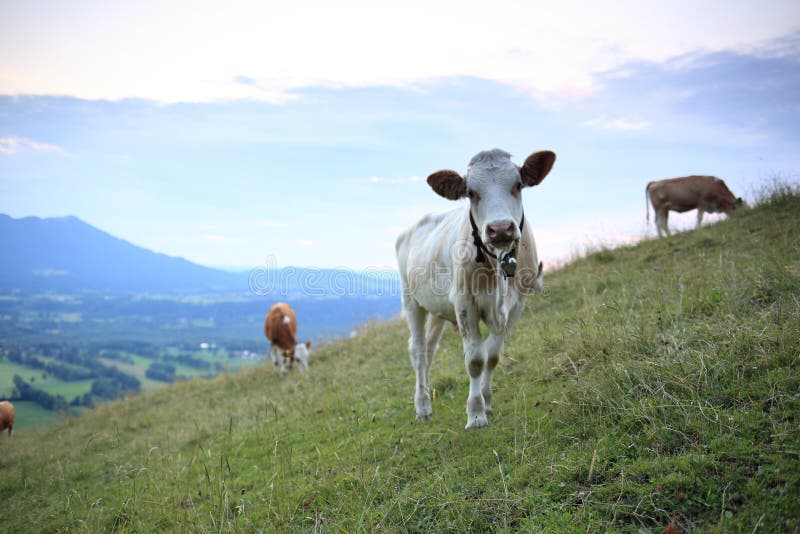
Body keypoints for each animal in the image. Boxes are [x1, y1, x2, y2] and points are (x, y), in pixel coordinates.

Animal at [396, 148, 555, 430]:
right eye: (470, 192)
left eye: (518, 184)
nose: (500, 228)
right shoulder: (464, 301)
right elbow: (475, 359)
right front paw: (476, 414)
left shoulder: (517, 304)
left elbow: (492, 355)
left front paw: (487, 401)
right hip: (411, 299)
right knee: (417, 350)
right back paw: (422, 407)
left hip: (437, 309)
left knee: (429, 349)